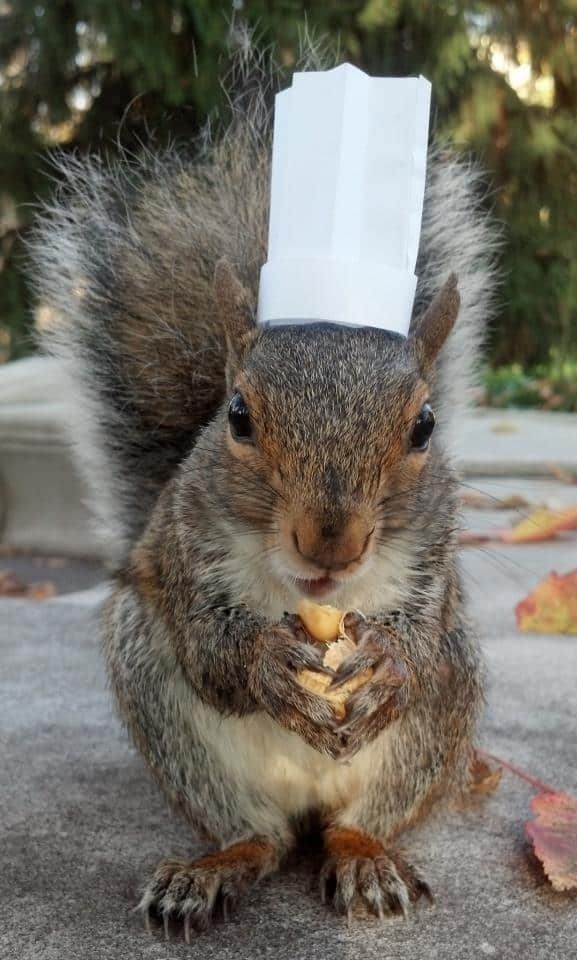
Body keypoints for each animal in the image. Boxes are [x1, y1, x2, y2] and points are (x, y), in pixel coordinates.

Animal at [31, 39, 497, 936]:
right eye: (238, 415)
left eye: (424, 427)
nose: (330, 542)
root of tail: (308, 802)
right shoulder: (183, 548)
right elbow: (210, 648)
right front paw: (264, 664)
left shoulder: (434, 567)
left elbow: (418, 638)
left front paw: (388, 661)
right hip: (164, 703)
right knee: (259, 836)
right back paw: (209, 871)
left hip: (435, 731)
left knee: (357, 822)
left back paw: (365, 859)